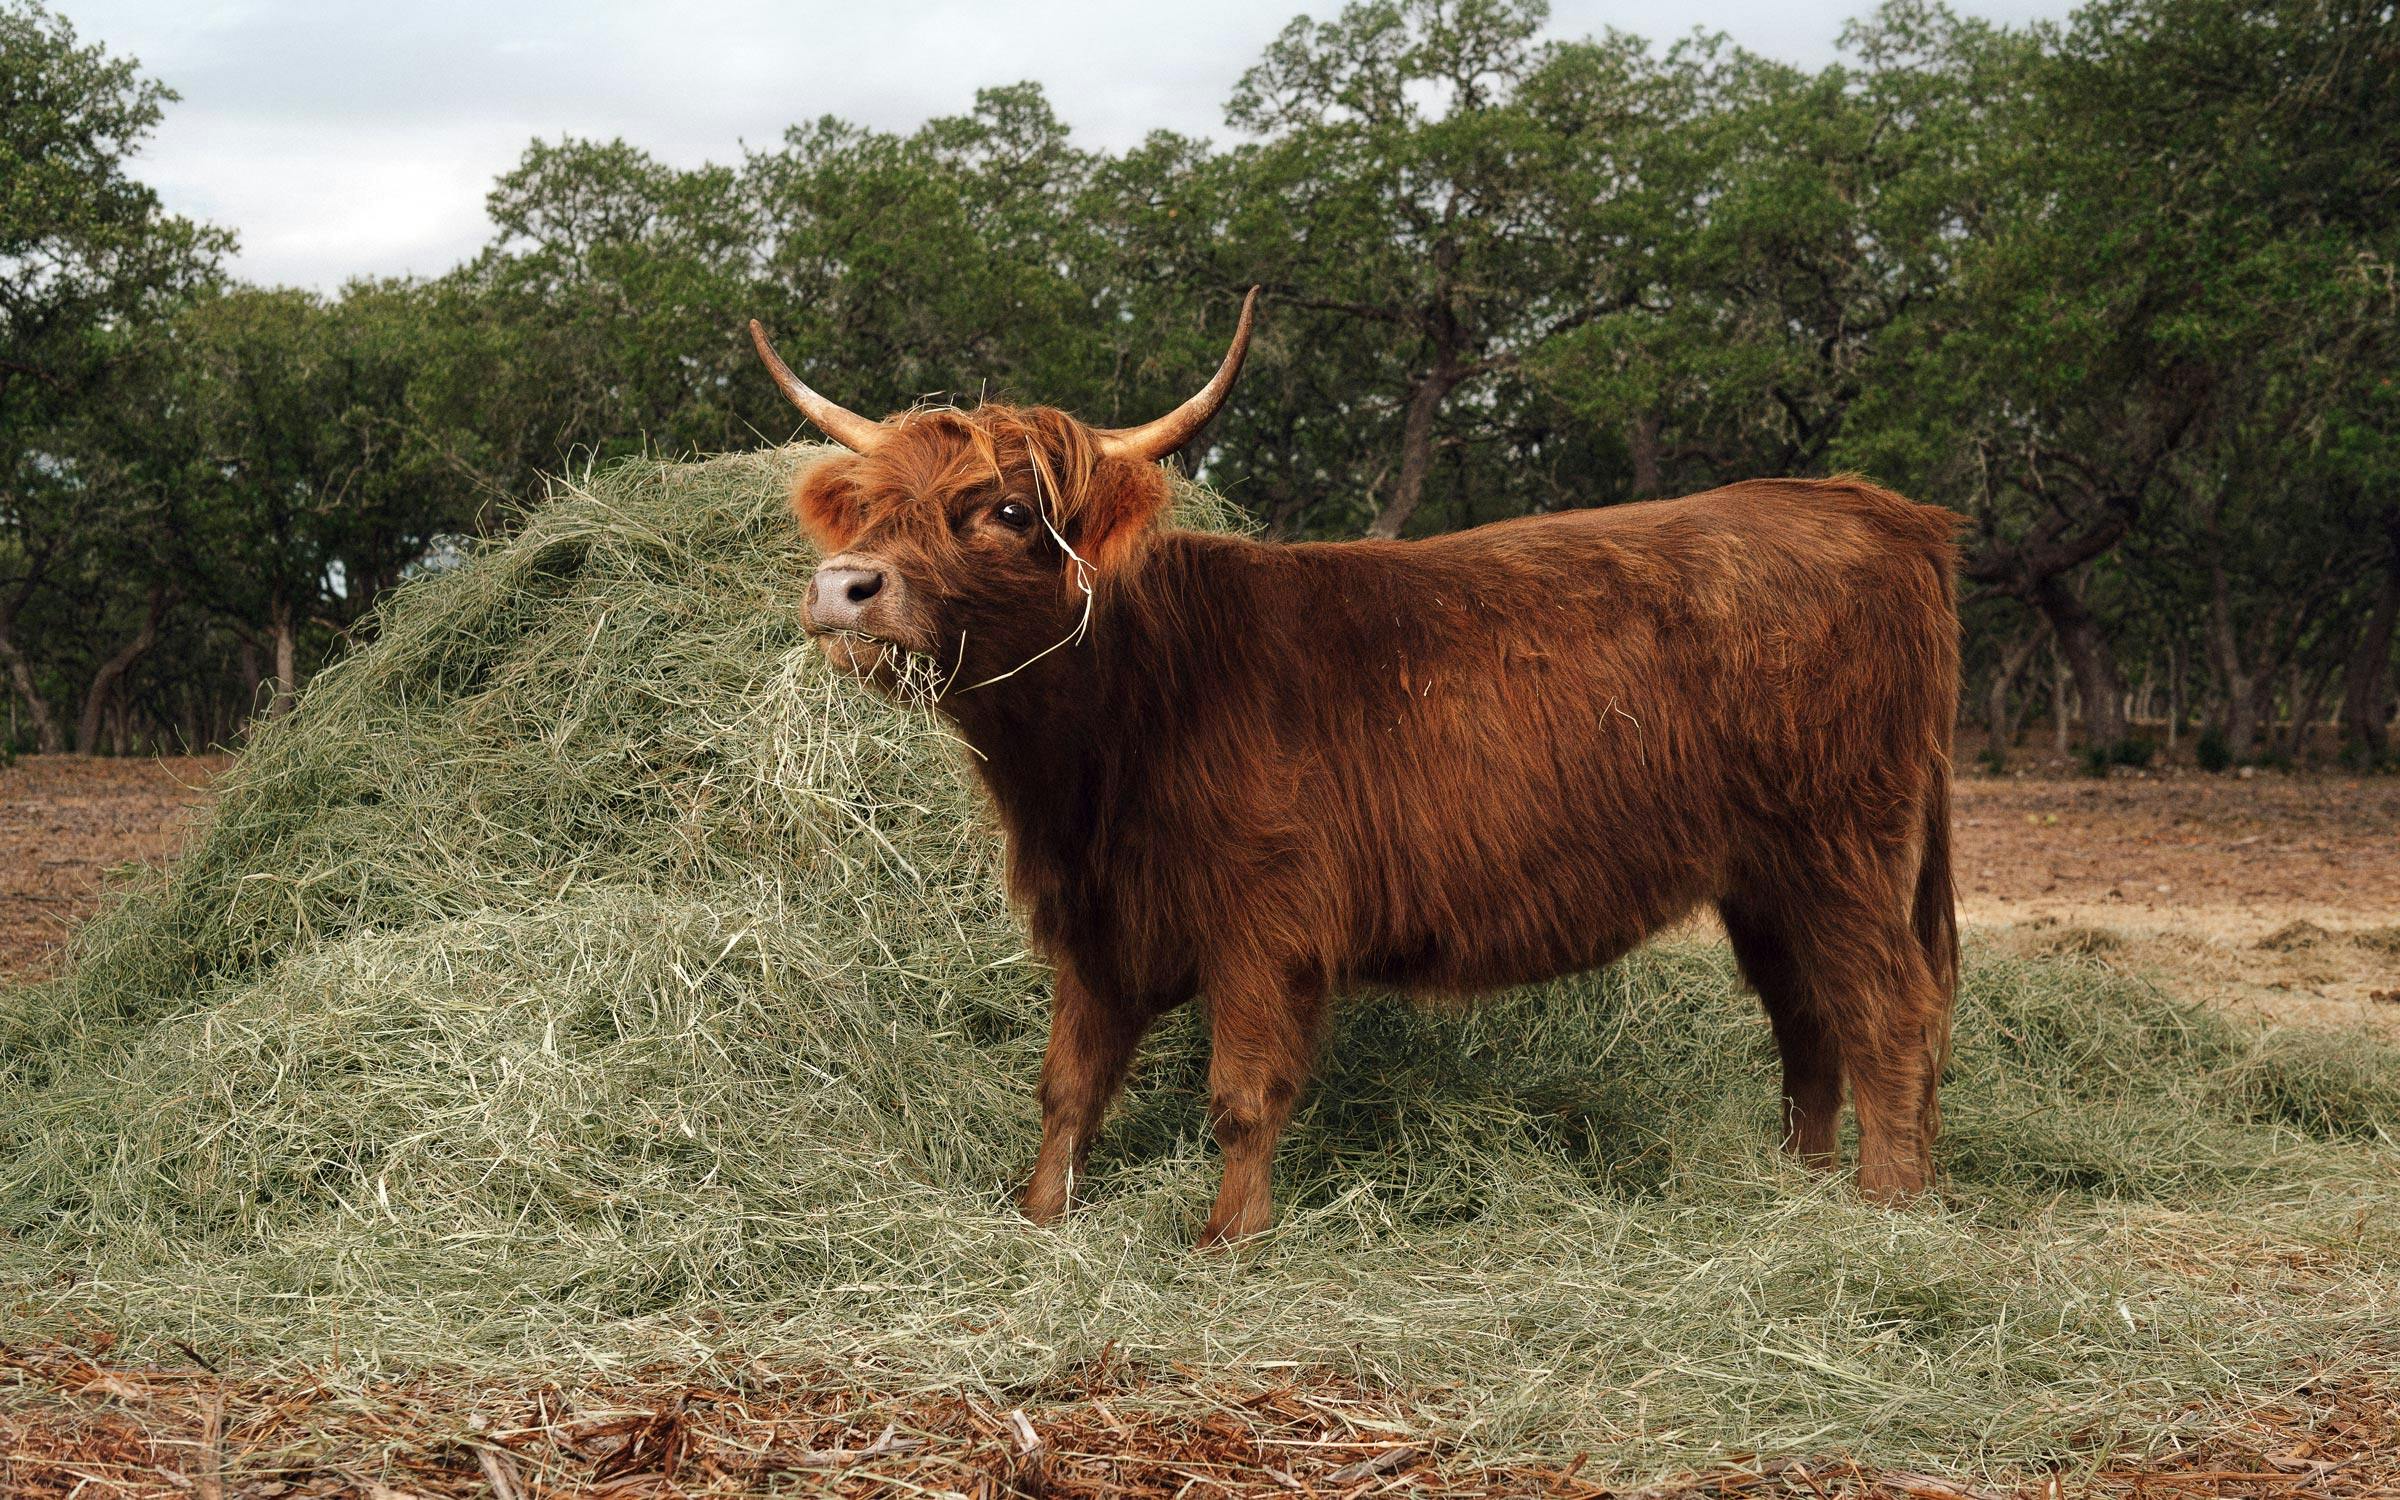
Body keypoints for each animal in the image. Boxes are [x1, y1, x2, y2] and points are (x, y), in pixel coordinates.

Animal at [750, 289, 1960, 1246]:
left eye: (1005, 510)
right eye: (867, 508)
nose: (845, 585)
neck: (1113, 734)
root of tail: (1874, 509)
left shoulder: (1265, 922)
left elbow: (1244, 1091)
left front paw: (1228, 1236)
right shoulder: (1098, 920)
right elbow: (1068, 1087)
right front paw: (1041, 1215)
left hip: (1843, 848)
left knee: (1889, 1011)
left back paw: (1883, 1211)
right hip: (1765, 877)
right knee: (1808, 1021)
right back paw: (1800, 1187)